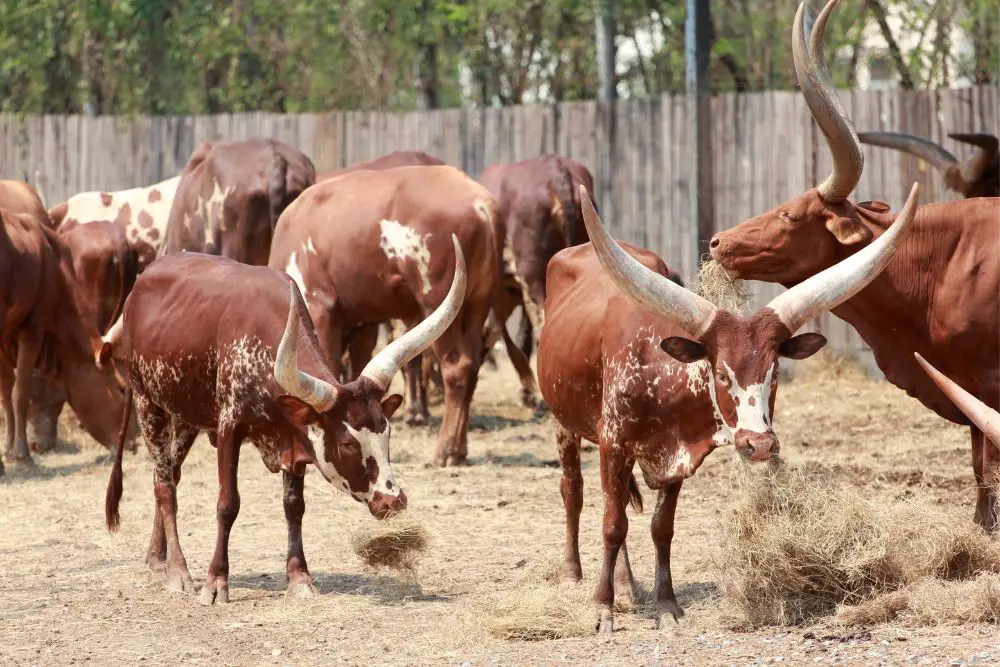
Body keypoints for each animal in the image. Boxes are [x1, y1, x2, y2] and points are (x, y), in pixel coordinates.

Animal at [0, 181, 128, 473]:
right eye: (121, 388)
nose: (132, 443)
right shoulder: (32, 331)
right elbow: (19, 392)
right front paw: (22, 454)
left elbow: (6, 392)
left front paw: (9, 451)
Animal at [102, 240, 466, 603]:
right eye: (348, 443)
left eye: (386, 433)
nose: (393, 501)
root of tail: (140, 286)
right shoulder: (229, 427)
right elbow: (227, 504)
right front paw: (216, 582)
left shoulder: (294, 439)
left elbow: (294, 506)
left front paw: (299, 577)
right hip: (148, 403)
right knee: (165, 486)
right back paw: (178, 570)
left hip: (187, 416)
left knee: (167, 474)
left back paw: (156, 558)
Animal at [268, 165, 497, 466]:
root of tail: (481, 204)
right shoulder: (362, 323)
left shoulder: (321, 309)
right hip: (476, 305)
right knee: (472, 367)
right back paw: (459, 448)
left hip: (437, 302)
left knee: (457, 367)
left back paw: (446, 450)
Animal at [538, 182, 919, 632]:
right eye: (721, 374)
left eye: (775, 371)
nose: (760, 445)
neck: (659, 369)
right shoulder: (614, 443)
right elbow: (613, 524)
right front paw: (602, 609)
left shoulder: (675, 458)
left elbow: (661, 528)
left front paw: (666, 605)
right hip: (563, 422)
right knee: (574, 491)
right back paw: (574, 574)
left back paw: (628, 584)